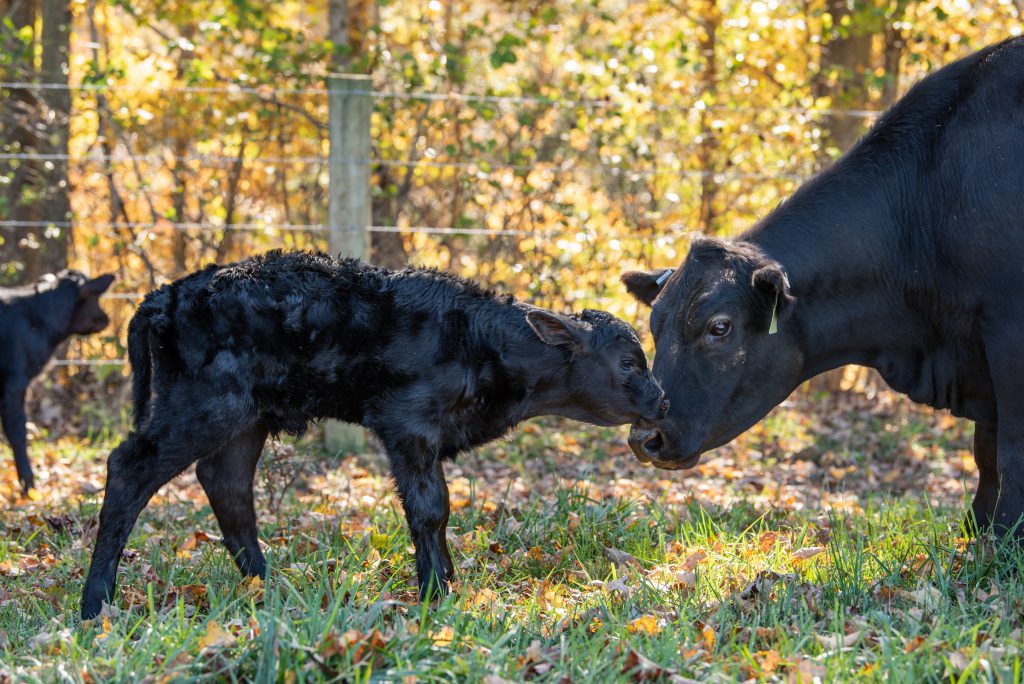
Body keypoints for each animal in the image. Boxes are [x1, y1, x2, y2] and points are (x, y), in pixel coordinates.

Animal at [80, 250, 667, 619]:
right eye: (629, 363)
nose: (662, 400)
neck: (480, 342)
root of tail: (166, 294)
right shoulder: (406, 423)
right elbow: (429, 508)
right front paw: (435, 593)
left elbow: (439, 508)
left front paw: (447, 581)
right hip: (204, 403)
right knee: (129, 468)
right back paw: (95, 604)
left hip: (246, 416)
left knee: (226, 483)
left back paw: (266, 586)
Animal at [622, 37, 1024, 540]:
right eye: (655, 325)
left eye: (719, 327)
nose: (645, 437)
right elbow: (986, 453)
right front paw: (978, 532)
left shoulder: (1007, 329)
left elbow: (1010, 450)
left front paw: (1002, 540)